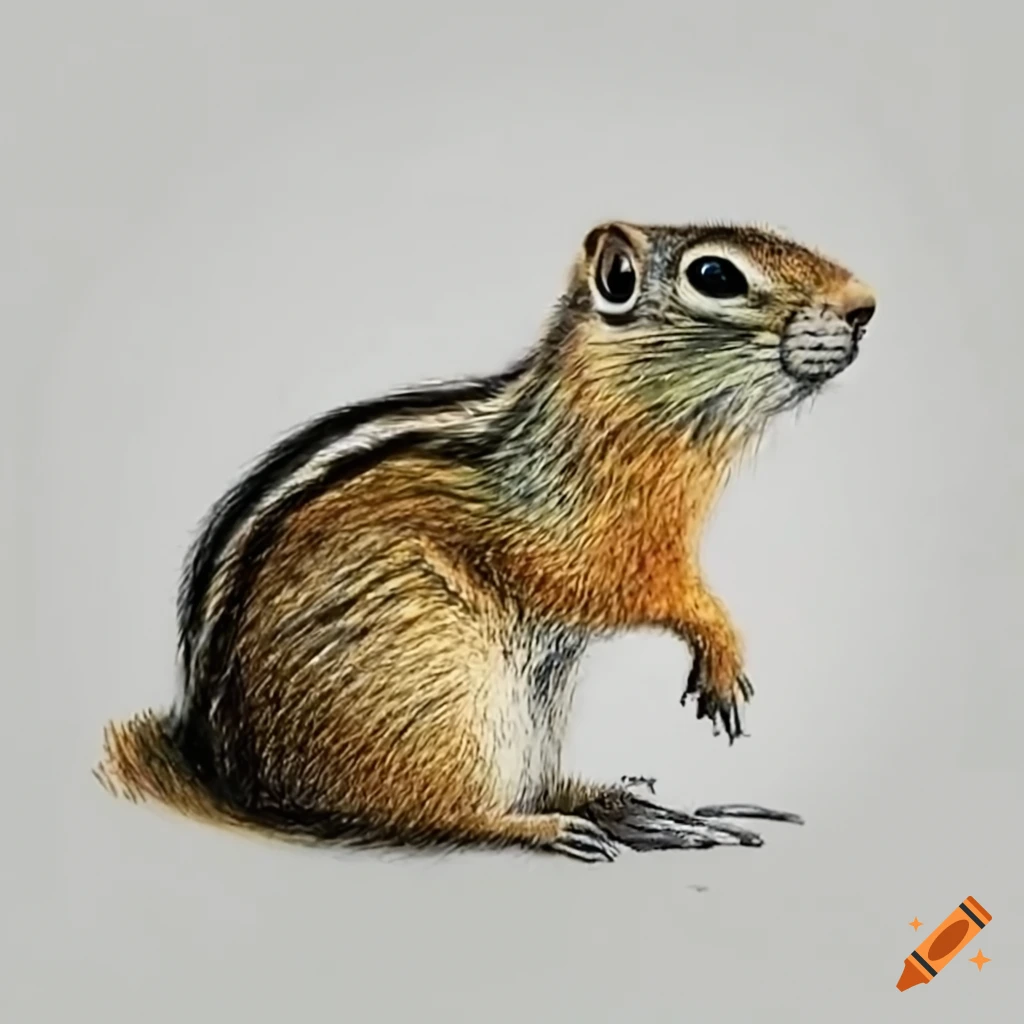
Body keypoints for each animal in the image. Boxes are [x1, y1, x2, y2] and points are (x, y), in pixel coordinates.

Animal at [97, 220, 876, 862]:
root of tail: (230, 772)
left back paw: (633, 809)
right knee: (444, 817)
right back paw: (556, 826)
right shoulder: (597, 548)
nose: (864, 306)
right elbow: (646, 593)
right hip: (446, 707)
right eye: (715, 275)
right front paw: (719, 649)